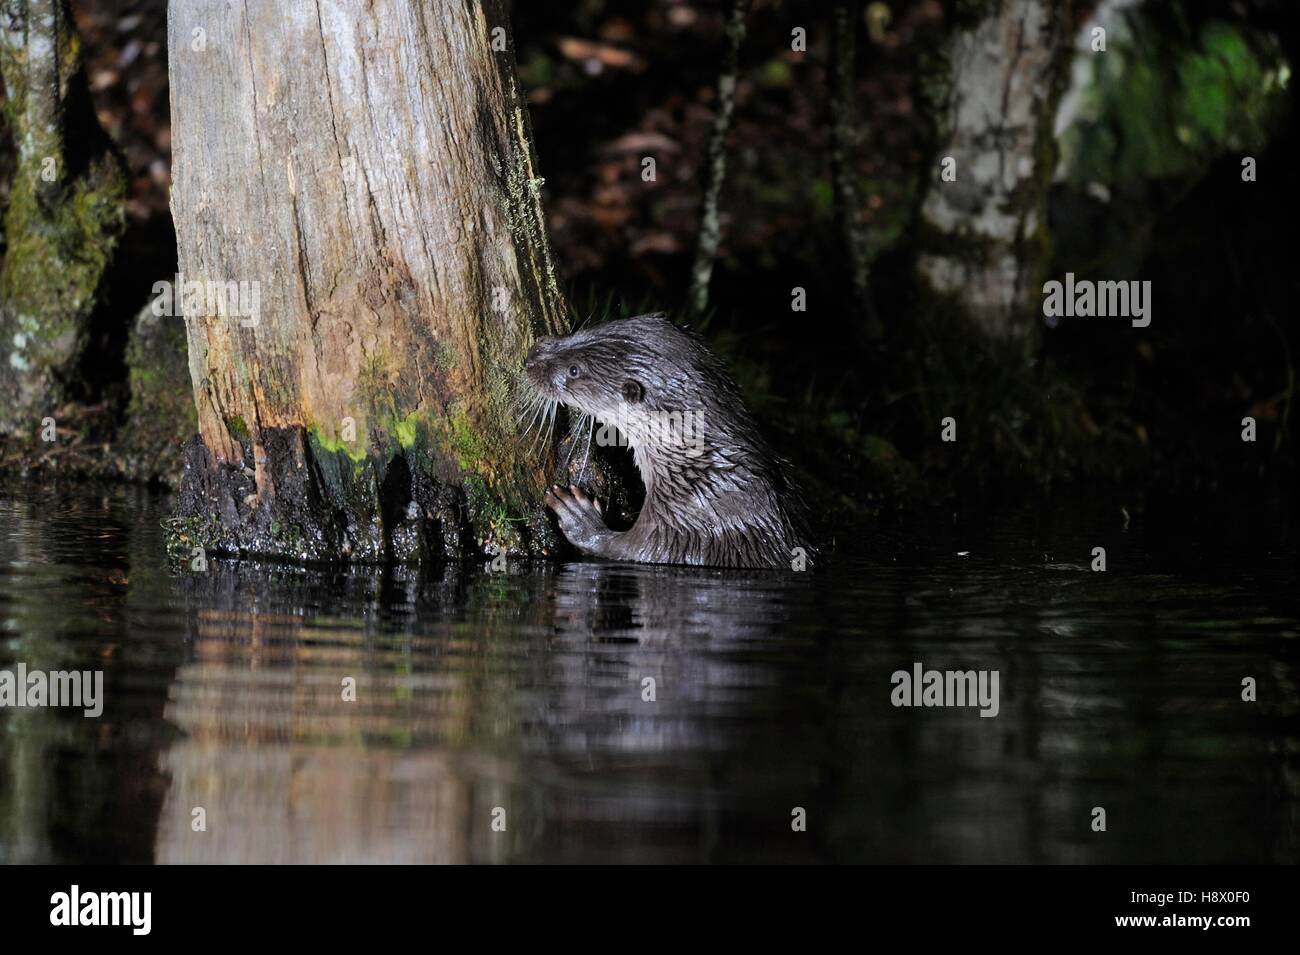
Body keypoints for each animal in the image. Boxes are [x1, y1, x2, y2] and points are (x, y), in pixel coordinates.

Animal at [523, 313, 813, 569]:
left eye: (574, 370)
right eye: (583, 332)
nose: (531, 358)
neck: (693, 470)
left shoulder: (686, 524)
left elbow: (627, 550)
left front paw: (579, 517)